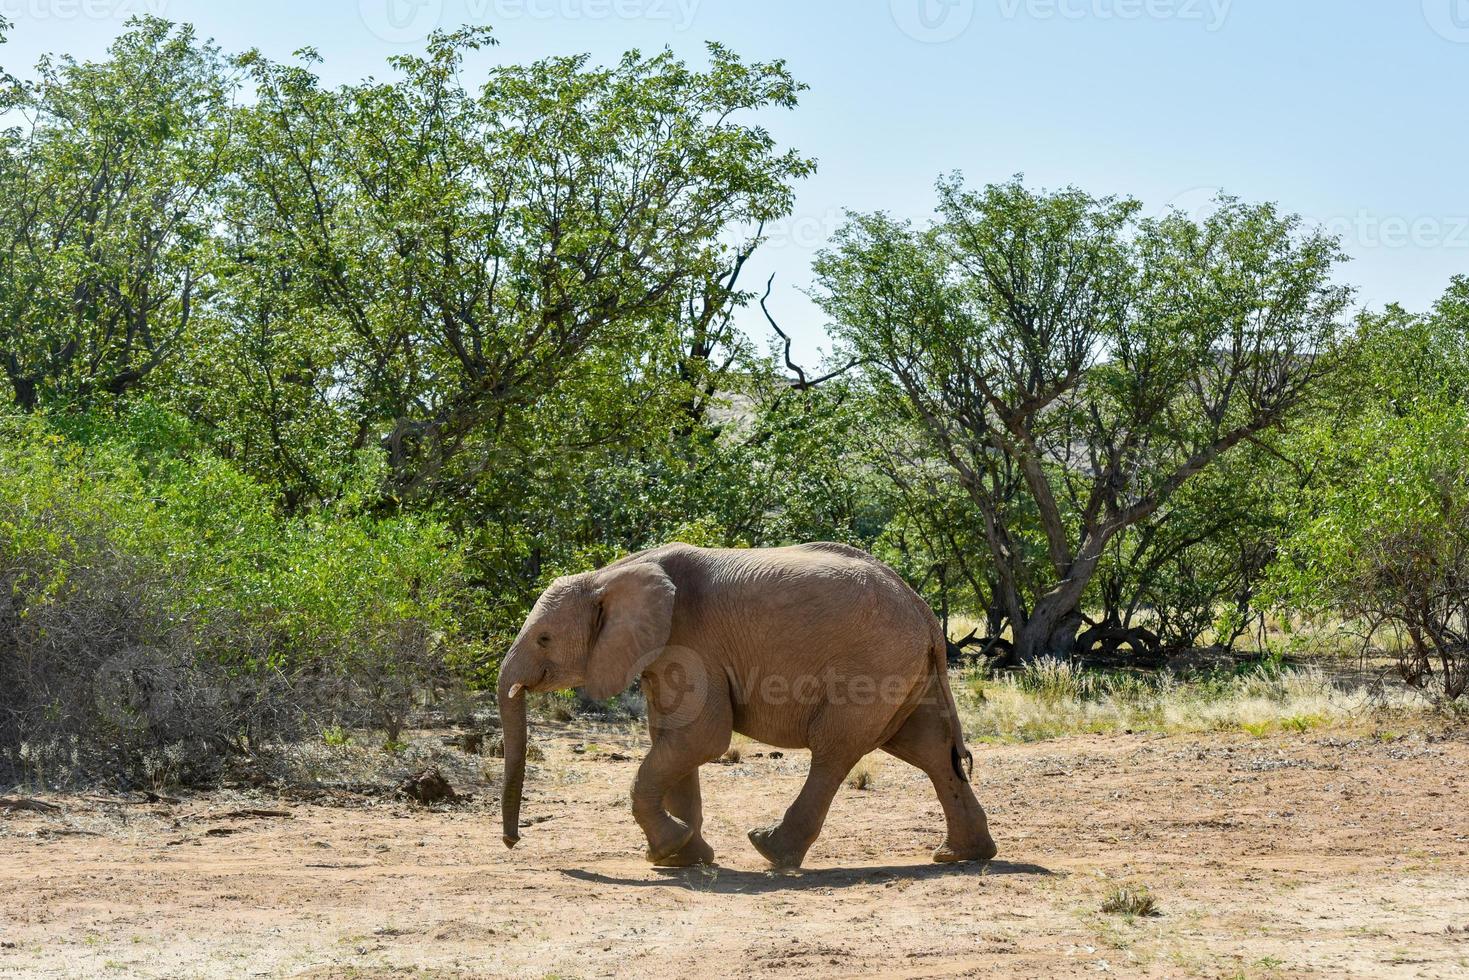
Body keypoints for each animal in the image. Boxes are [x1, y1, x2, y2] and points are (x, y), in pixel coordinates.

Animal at [497, 542, 998, 870]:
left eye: (544, 639)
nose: (513, 841)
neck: (609, 575)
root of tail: (923, 610)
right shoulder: (668, 652)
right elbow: (675, 740)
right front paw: (684, 858)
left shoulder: (691, 641)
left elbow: (701, 738)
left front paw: (667, 852)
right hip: (906, 670)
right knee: (930, 751)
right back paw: (961, 856)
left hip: (873, 665)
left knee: (835, 751)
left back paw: (771, 851)